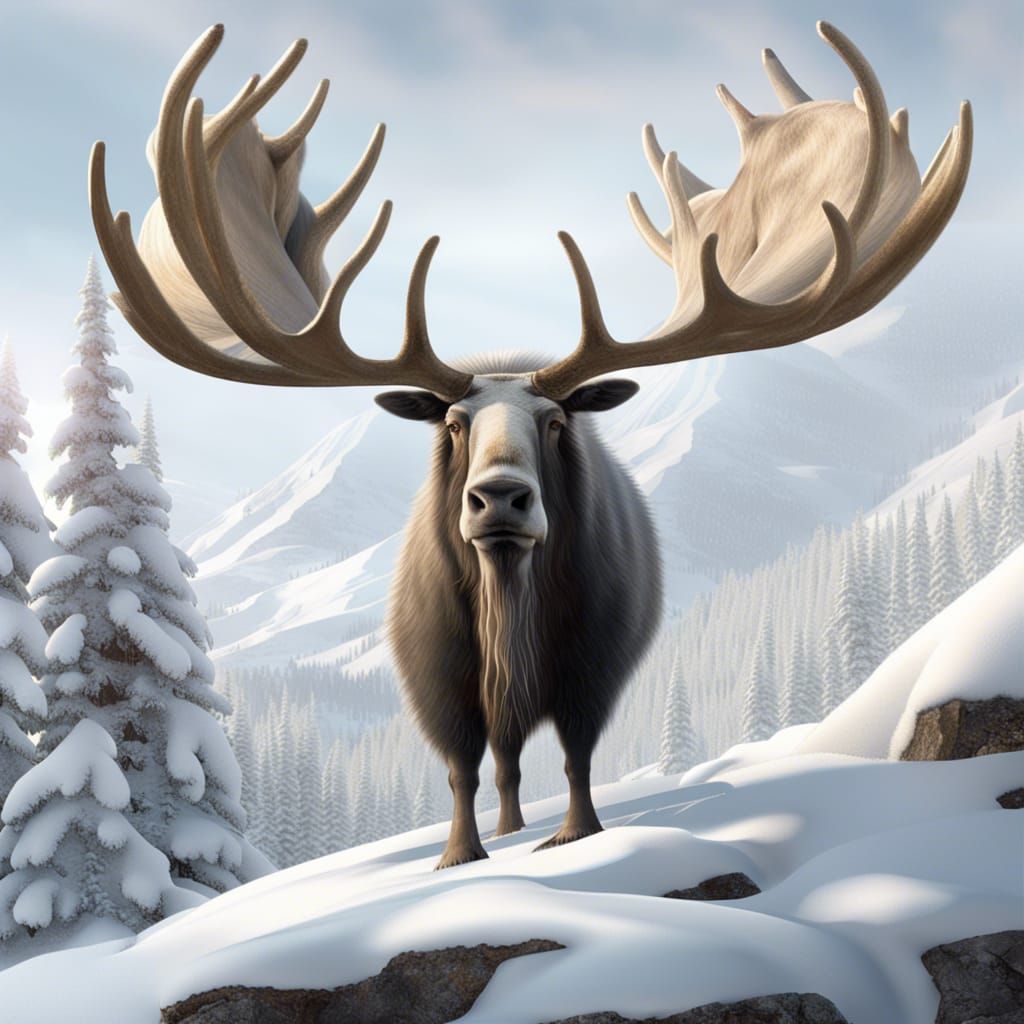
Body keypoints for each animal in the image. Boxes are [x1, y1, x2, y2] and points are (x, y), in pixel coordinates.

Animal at [88, 22, 971, 868]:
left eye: (555, 420)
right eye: (452, 423)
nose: (501, 497)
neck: (510, 627)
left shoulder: (598, 665)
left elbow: (577, 757)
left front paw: (577, 839)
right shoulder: (434, 681)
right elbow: (461, 770)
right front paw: (459, 858)